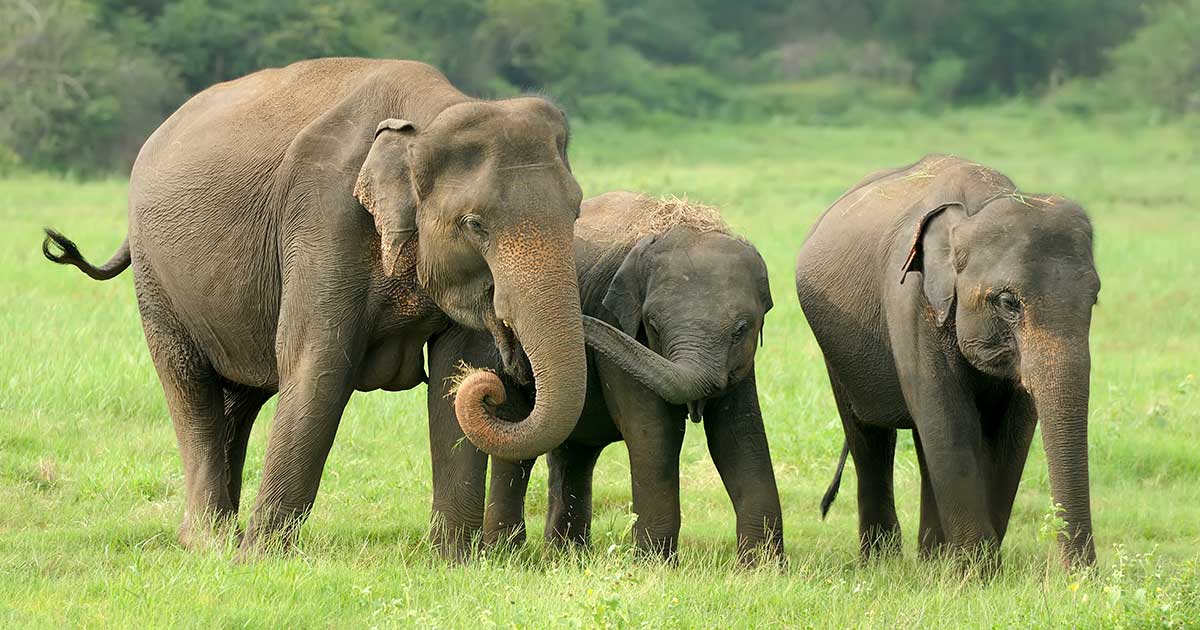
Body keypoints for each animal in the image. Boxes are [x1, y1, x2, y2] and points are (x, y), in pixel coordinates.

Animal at [41, 58, 590, 555]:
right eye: (474, 224)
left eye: (576, 211)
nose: (508, 380)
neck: (433, 110)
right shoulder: (323, 215)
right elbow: (318, 366)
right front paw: (259, 560)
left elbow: (458, 371)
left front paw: (453, 561)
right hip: (157, 281)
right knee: (190, 390)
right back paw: (211, 543)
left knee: (239, 401)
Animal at [427, 191, 784, 564]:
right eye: (653, 325)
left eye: (741, 329)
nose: (507, 321)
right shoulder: (623, 335)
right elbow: (655, 433)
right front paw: (655, 566)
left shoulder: (743, 365)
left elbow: (738, 435)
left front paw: (762, 568)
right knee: (519, 447)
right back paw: (507, 554)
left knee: (573, 452)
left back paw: (567, 556)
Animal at [795, 155, 1099, 571]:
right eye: (1008, 302)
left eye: (1094, 299)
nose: (1083, 577)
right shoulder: (911, 303)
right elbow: (950, 423)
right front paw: (977, 573)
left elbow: (1012, 434)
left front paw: (972, 566)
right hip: (837, 353)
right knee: (869, 435)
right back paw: (883, 563)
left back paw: (931, 560)